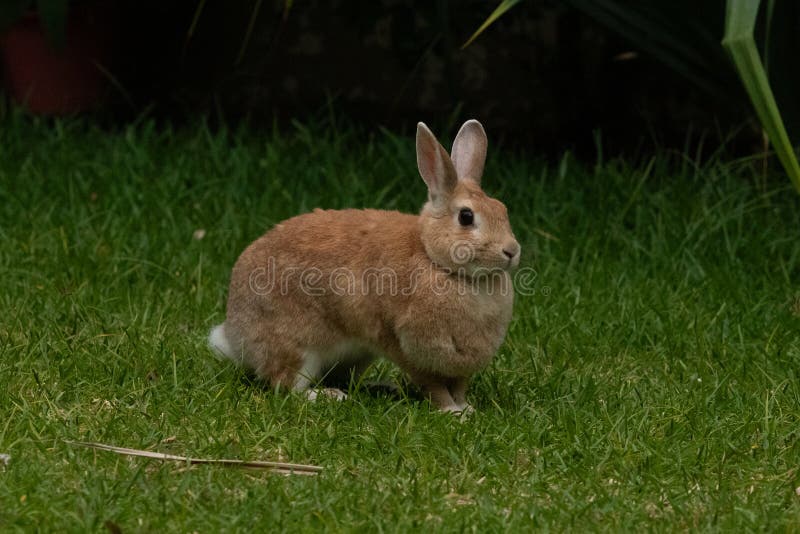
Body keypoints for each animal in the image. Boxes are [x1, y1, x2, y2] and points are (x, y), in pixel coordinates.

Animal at [209, 120, 520, 413]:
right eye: (466, 217)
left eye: (503, 209)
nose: (512, 251)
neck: (435, 259)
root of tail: (236, 335)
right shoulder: (404, 345)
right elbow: (433, 386)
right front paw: (452, 412)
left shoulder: (459, 365)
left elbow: (458, 386)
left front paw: (466, 407)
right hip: (298, 348)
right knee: (286, 385)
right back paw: (327, 396)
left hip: (357, 356)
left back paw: (383, 387)